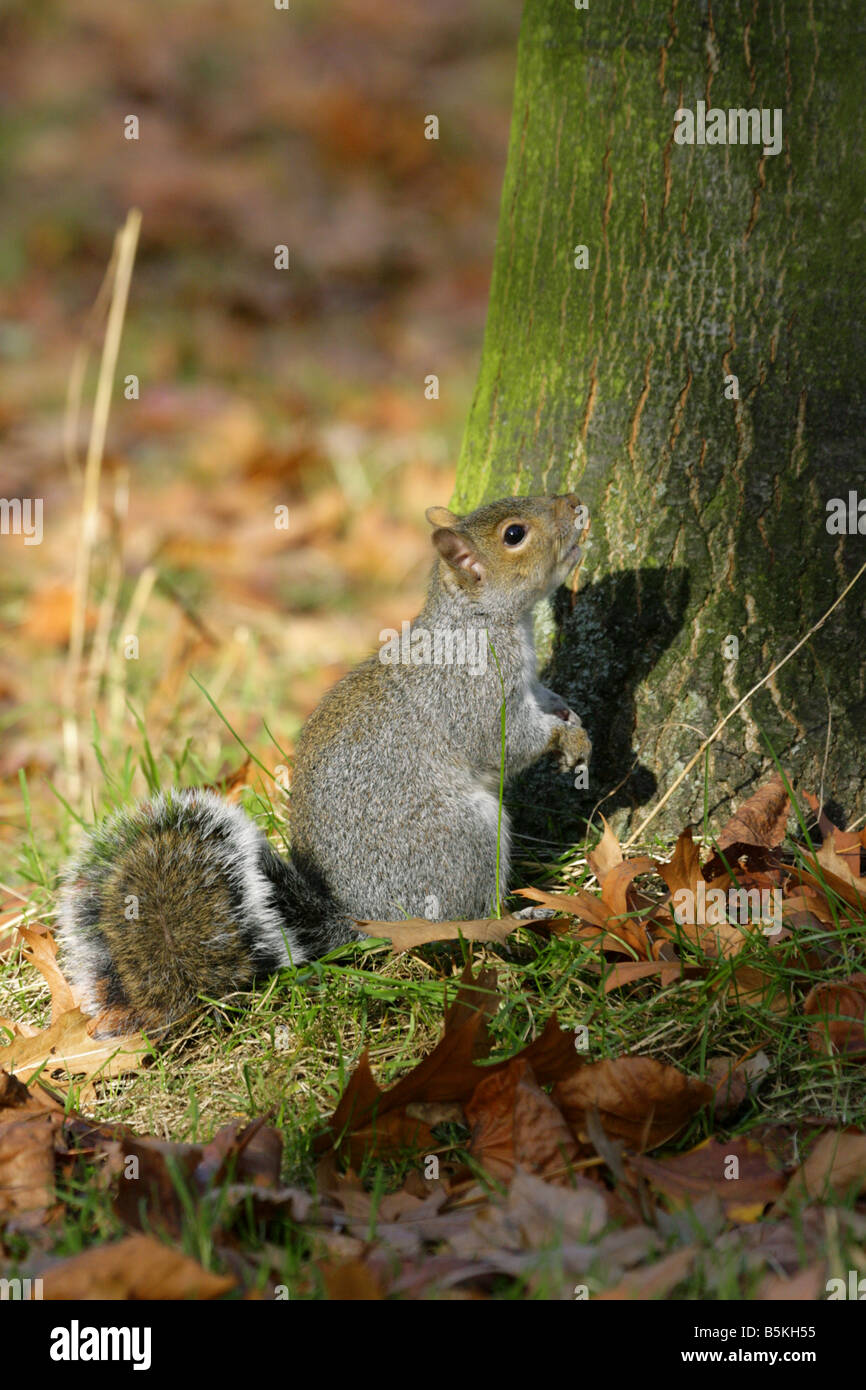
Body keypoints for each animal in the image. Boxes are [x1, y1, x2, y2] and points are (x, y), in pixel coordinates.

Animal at [57, 493, 591, 1036]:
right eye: (514, 535)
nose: (573, 502)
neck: (478, 620)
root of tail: (363, 919)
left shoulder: (528, 684)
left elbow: (548, 699)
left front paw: (575, 721)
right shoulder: (474, 696)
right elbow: (509, 743)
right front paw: (565, 738)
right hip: (468, 837)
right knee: (467, 917)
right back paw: (511, 920)